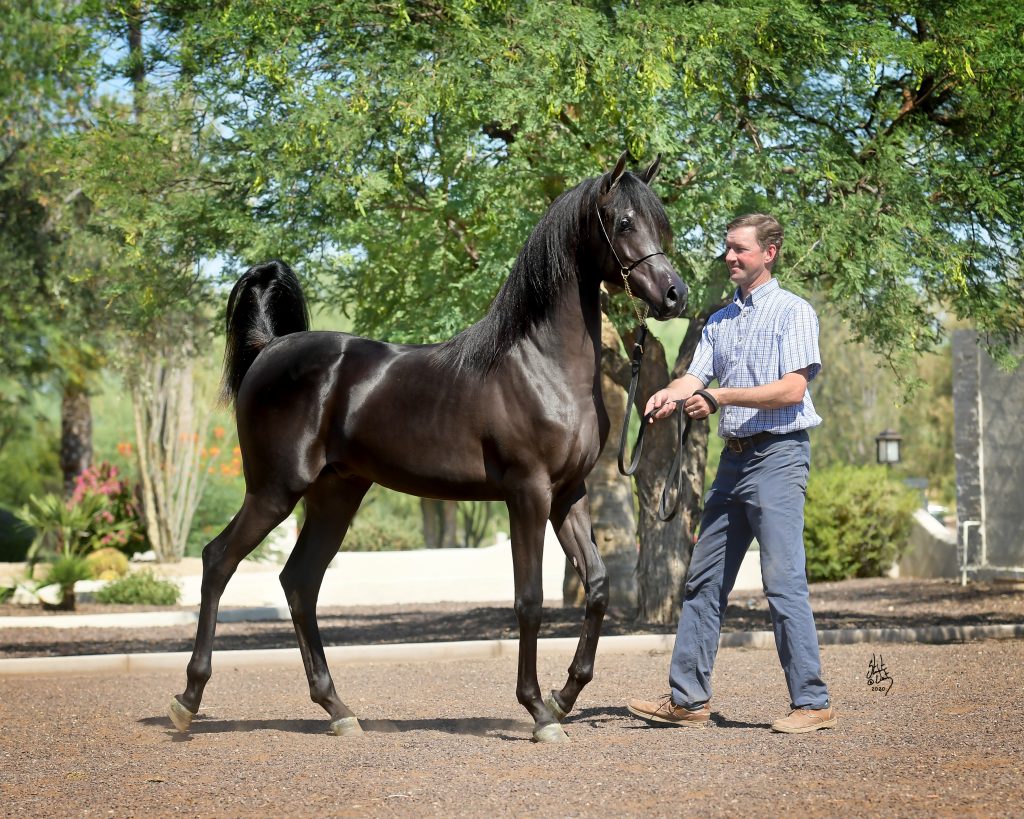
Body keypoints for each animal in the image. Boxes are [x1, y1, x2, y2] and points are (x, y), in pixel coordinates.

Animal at [168, 152, 687, 743]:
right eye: (623, 222)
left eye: (660, 223)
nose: (674, 295)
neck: (542, 365)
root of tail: (270, 349)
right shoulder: (528, 494)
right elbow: (529, 602)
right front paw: (537, 711)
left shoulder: (568, 495)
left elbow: (598, 587)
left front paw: (564, 696)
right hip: (275, 490)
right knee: (218, 561)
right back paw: (187, 700)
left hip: (335, 496)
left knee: (298, 582)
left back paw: (338, 710)